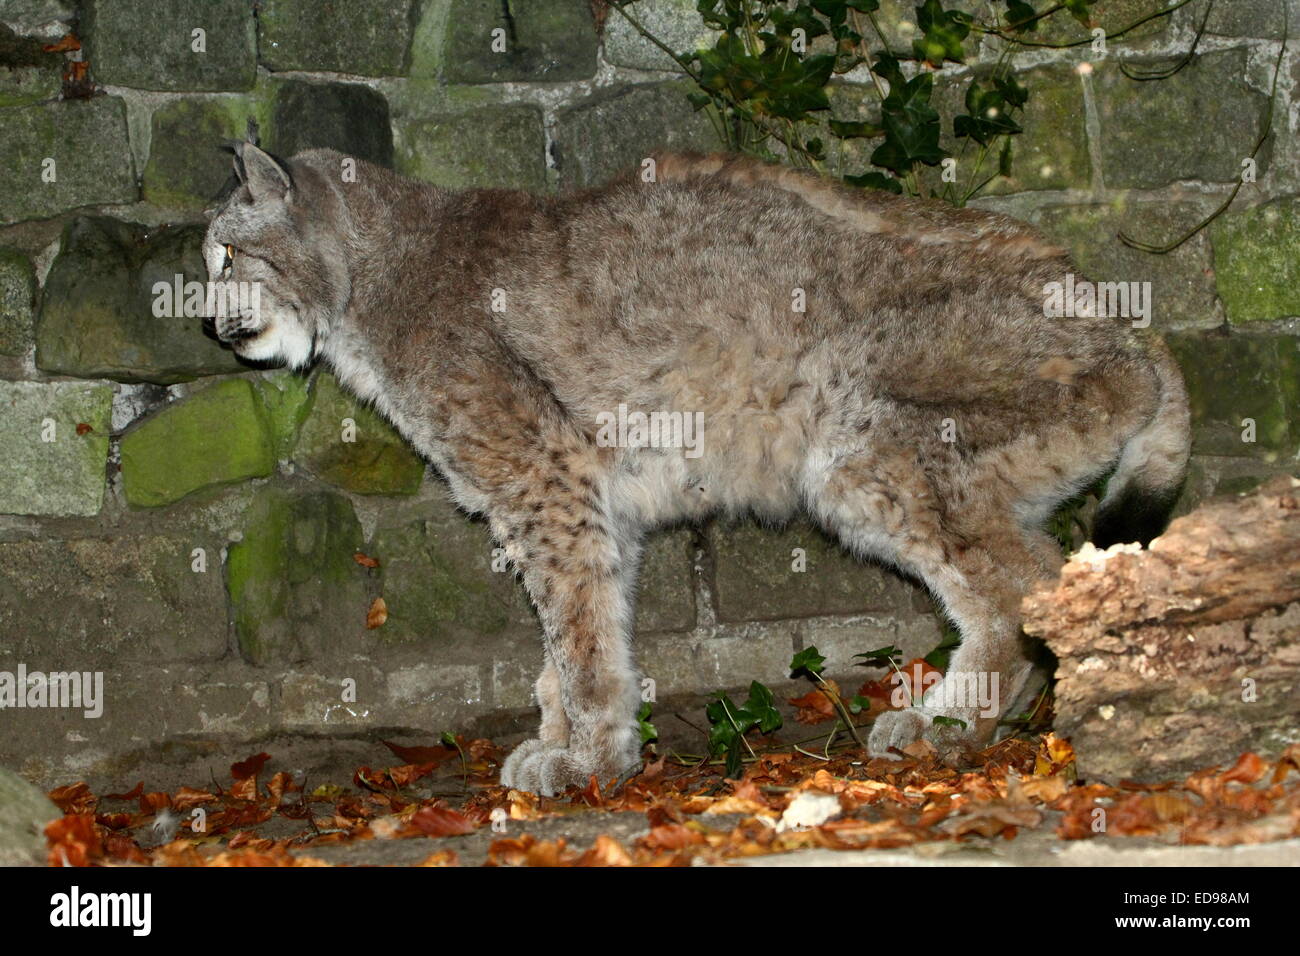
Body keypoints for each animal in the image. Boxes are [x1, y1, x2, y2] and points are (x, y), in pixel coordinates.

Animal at [204, 143, 1190, 796]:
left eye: (226, 254)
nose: (209, 324)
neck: (360, 285)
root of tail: (1116, 308)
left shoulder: (541, 479)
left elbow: (577, 639)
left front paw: (590, 762)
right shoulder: (591, 501)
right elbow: (576, 635)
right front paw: (570, 744)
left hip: (854, 436)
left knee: (1027, 582)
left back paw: (947, 726)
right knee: (1041, 567)